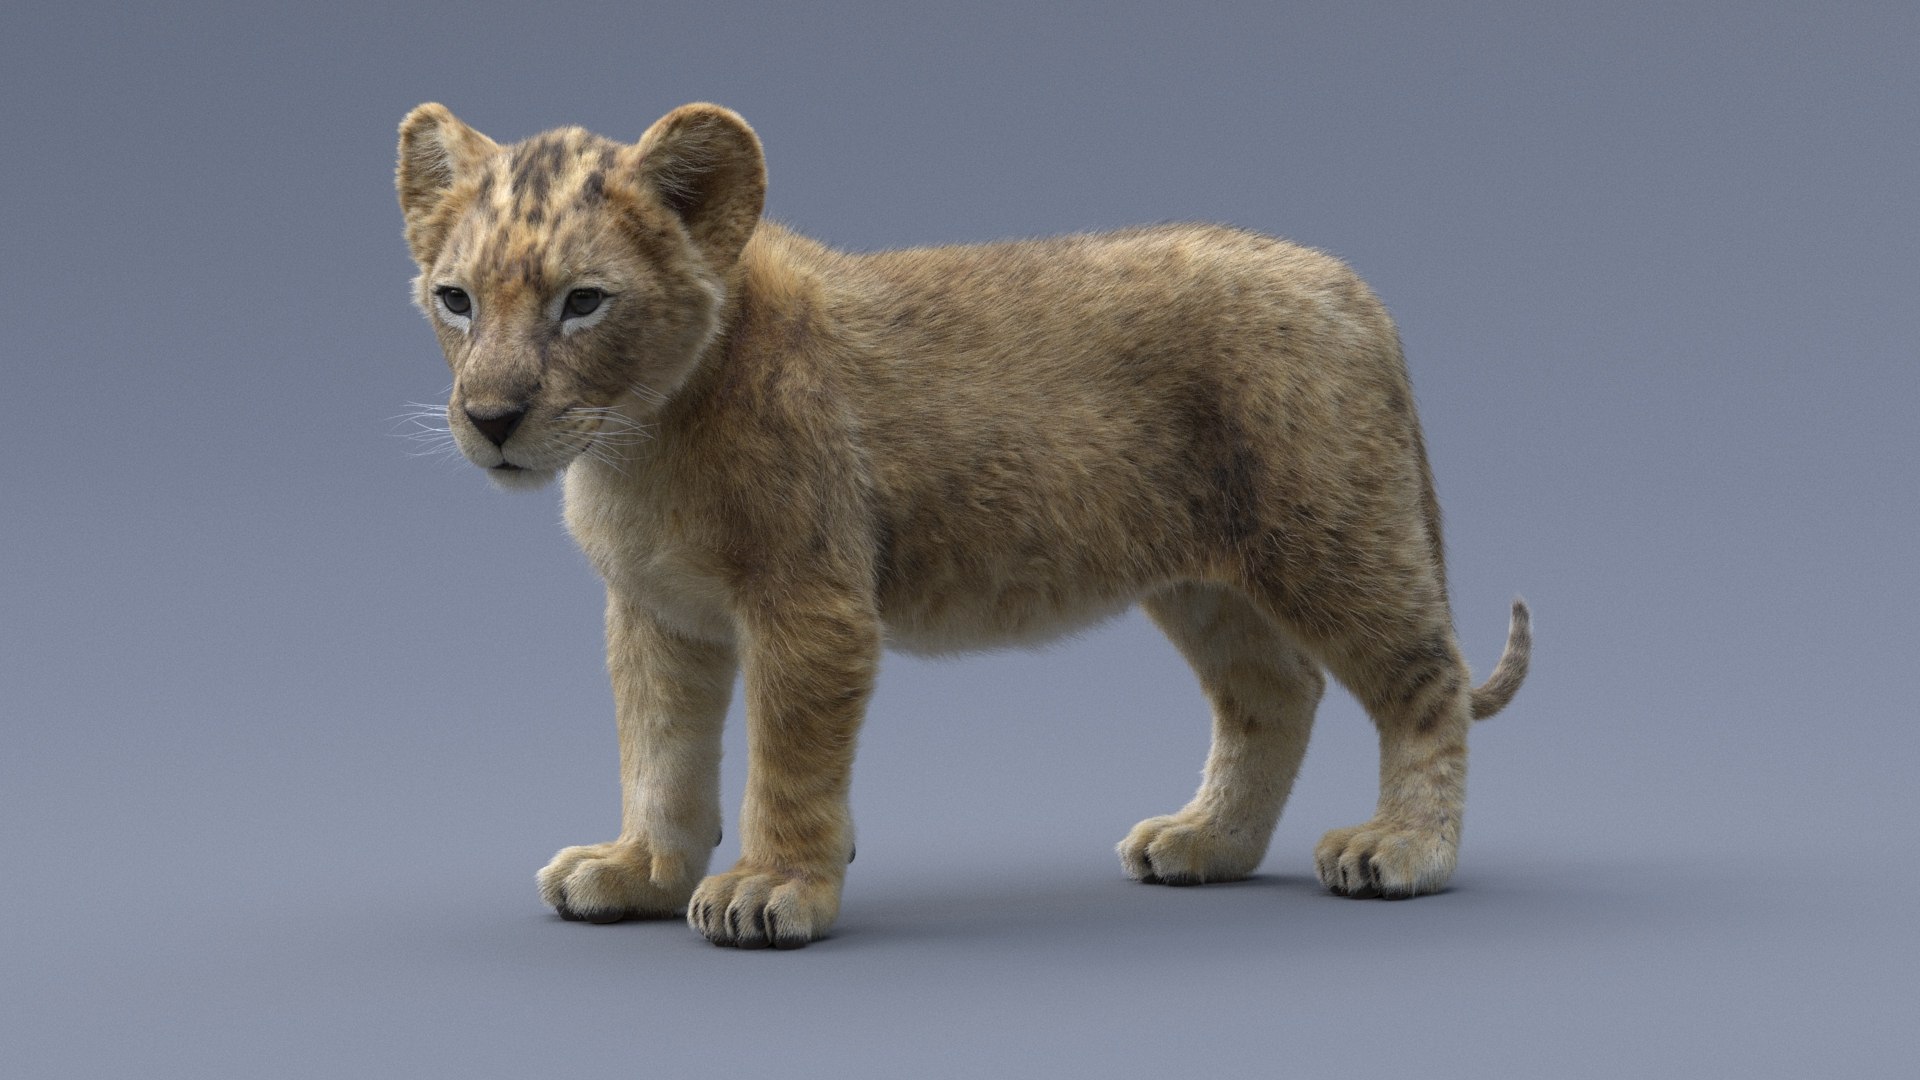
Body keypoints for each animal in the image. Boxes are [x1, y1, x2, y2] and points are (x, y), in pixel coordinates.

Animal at [395, 101, 1530, 948]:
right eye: (455, 300)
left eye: (583, 303)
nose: (490, 419)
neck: (640, 440)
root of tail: (1352, 285)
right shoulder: (657, 612)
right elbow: (660, 752)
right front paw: (637, 870)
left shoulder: (813, 604)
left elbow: (787, 759)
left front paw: (772, 887)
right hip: (1204, 582)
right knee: (1275, 693)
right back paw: (1206, 843)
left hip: (1333, 534)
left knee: (1423, 681)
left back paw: (1402, 851)